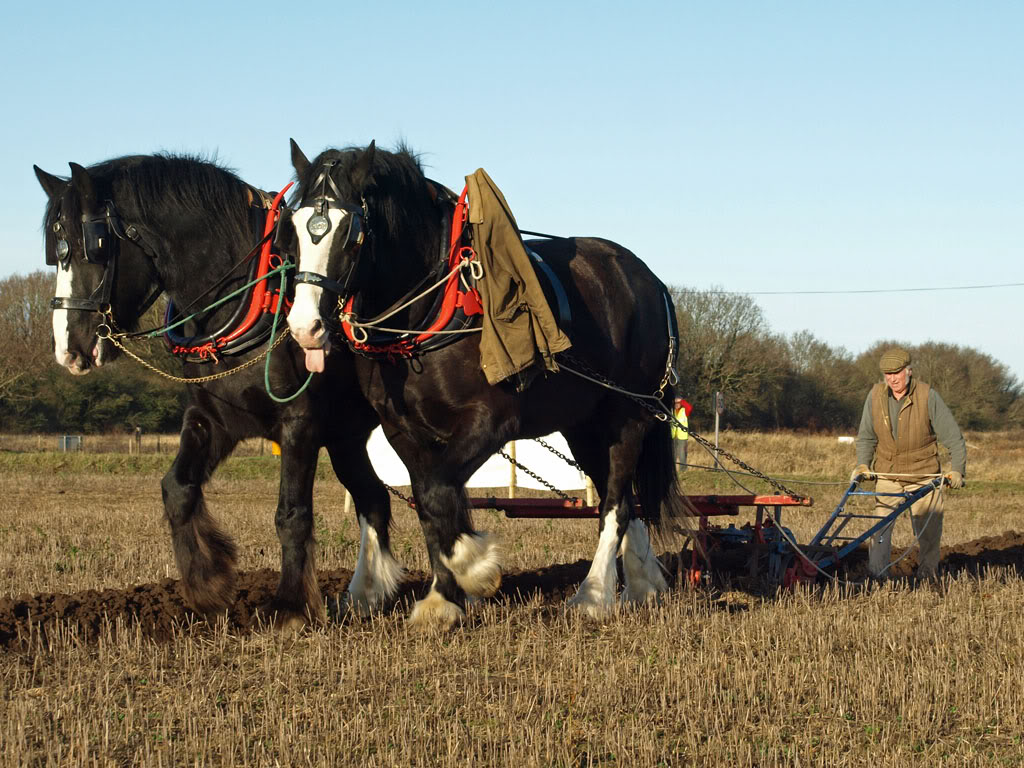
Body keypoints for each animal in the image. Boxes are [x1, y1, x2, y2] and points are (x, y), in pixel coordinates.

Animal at [30, 156, 403, 630]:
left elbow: (291, 515)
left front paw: (289, 607)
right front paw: (209, 585)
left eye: (93, 247)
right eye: (53, 251)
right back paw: (366, 596)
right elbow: (177, 489)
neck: (248, 299)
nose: (68, 348)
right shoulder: (213, 420)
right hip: (347, 437)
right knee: (373, 499)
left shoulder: (299, 424)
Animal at [286, 141, 688, 626]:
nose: (304, 326)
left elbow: (438, 495)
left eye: (351, 232)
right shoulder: (404, 431)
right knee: (623, 498)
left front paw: (474, 569)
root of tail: (651, 283)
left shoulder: (491, 421)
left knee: (616, 504)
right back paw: (642, 583)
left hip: (628, 417)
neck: (435, 308)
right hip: (585, 429)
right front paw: (444, 599)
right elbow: (430, 504)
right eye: (294, 227)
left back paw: (594, 595)